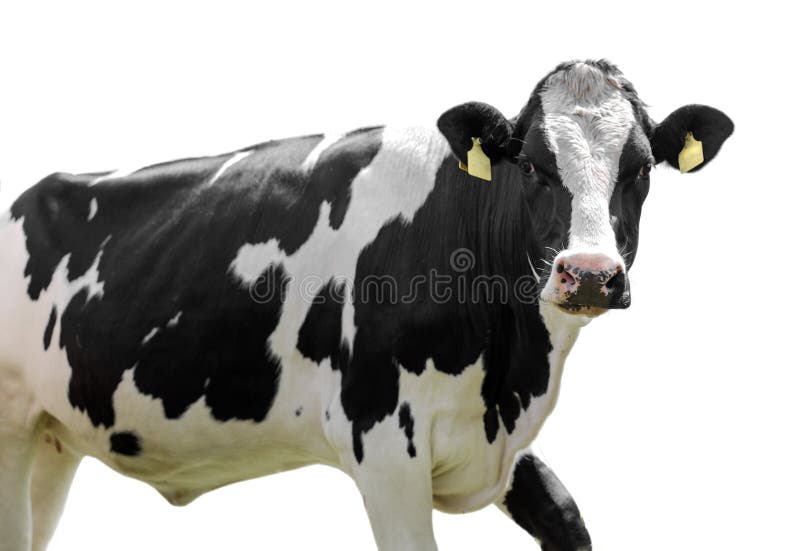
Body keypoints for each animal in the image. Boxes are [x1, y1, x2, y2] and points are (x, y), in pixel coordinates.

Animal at [0, 59, 733, 551]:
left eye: (641, 169)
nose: (588, 275)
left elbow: (567, 516)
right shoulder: (384, 446)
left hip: (53, 440)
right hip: (10, 428)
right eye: (529, 165)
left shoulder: (501, 444)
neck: (513, 370)